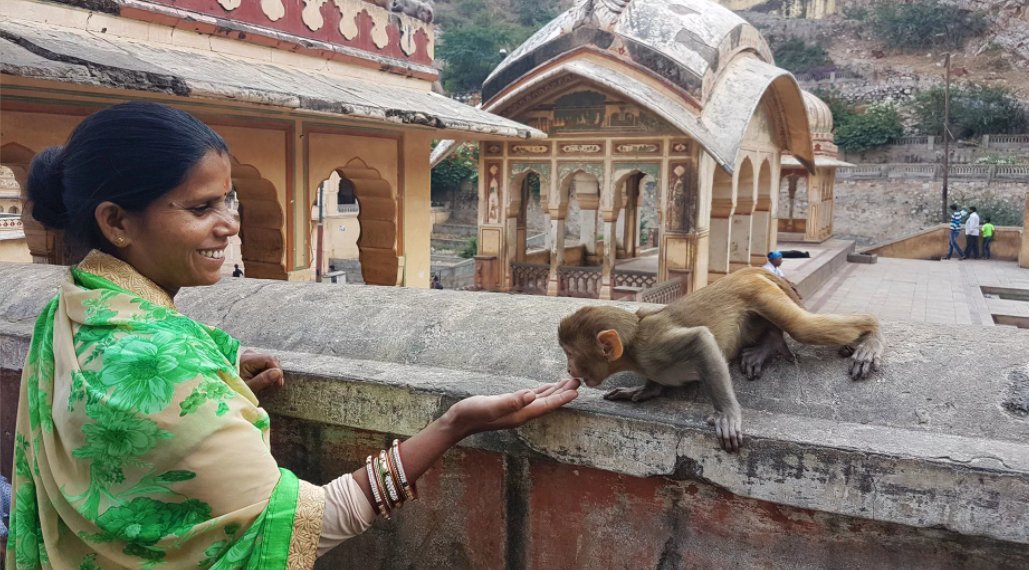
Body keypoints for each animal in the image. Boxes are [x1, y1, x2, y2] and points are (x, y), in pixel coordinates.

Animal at [559, 267, 889, 452]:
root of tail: (750, 271)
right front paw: (643, 389)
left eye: (571, 354)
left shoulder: (654, 347)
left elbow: (701, 340)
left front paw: (727, 415)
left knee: (801, 326)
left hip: (757, 290)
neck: (633, 348)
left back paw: (871, 332)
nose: (569, 368)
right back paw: (770, 344)